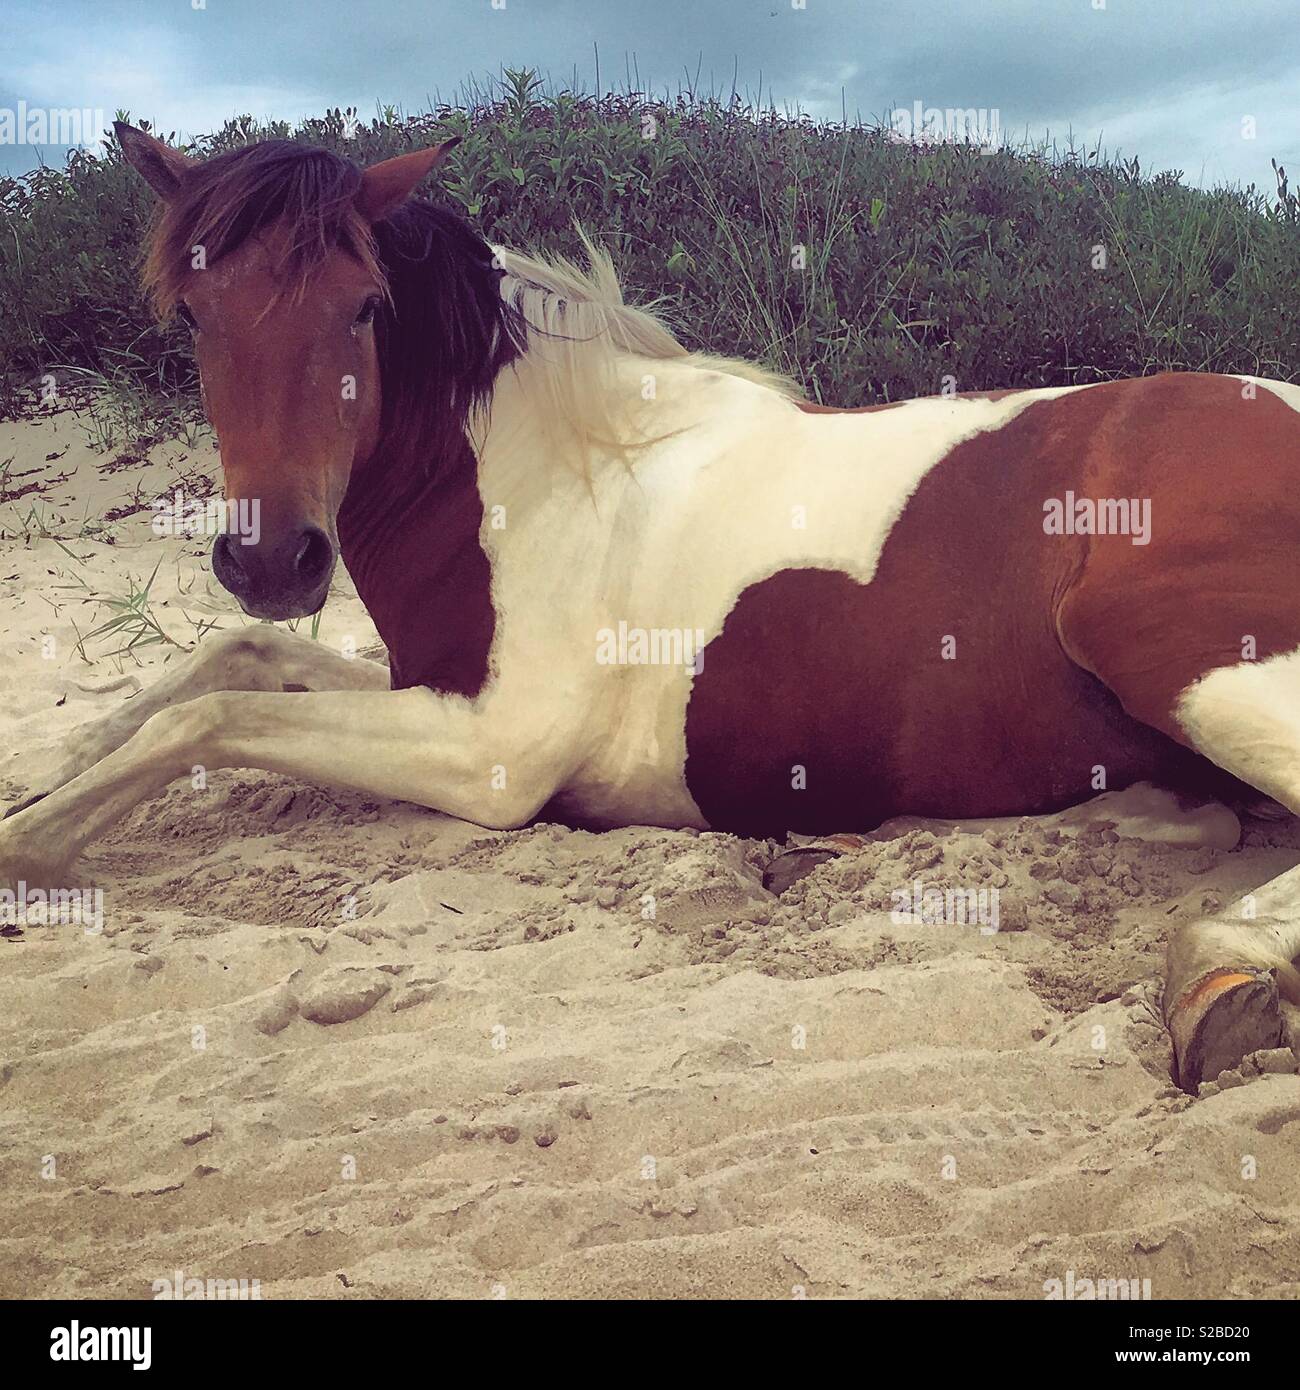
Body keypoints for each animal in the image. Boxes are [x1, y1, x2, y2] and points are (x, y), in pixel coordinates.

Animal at [4, 120, 1299, 1094]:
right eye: (192, 315)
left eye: (364, 305)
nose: (273, 558)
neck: (546, 474)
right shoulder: (429, 681)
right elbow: (224, 663)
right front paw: (40, 770)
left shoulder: (486, 751)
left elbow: (206, 714)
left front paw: (32, 842)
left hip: (1165, 644)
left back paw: (1223, 976)